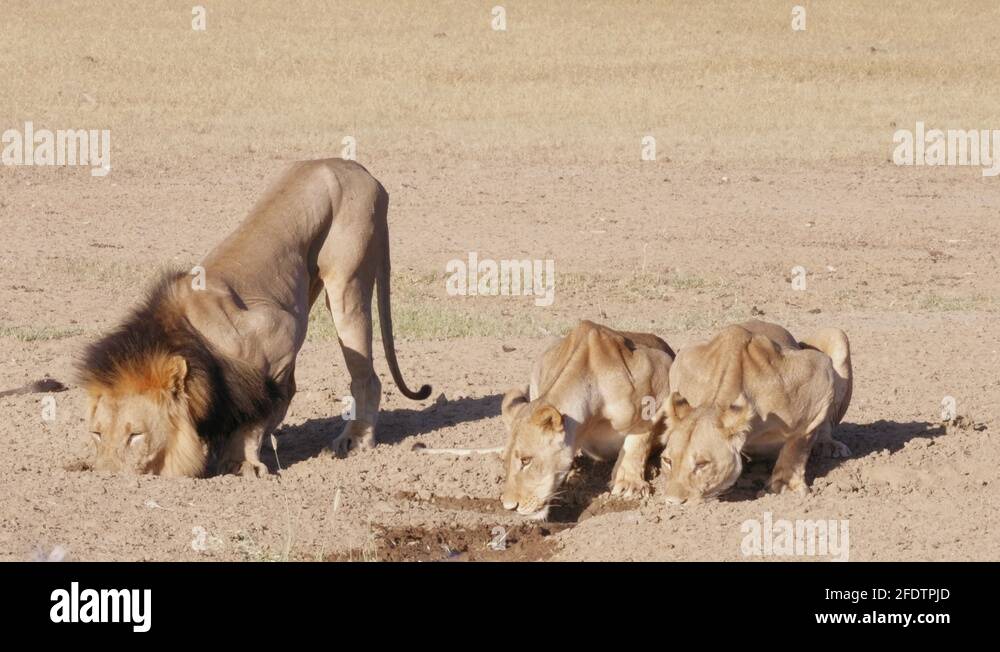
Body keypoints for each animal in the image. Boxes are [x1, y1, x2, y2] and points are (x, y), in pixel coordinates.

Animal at [78, 158, 431, 477]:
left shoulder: (281, 335)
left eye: (135, 436)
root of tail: (356, 167)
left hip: (347, 281)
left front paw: (241, 463)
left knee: (365, 376)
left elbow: (256, 412)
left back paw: (354, 439)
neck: (192, 337)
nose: (106, 476)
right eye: (96, 434)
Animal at [500, 320, 675, 519]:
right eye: (504, 461)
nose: (509, 506)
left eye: (526, 460)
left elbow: (639, 439)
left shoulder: (660, 374)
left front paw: (629, 484)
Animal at [659, 319, 851, 504]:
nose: (672, 502)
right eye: (667, 461)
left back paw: (828, 444)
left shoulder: (818, 372)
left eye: (702, 464)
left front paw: (785, 485)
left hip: (837, 335)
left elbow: (798, 443)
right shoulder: (681, 362)